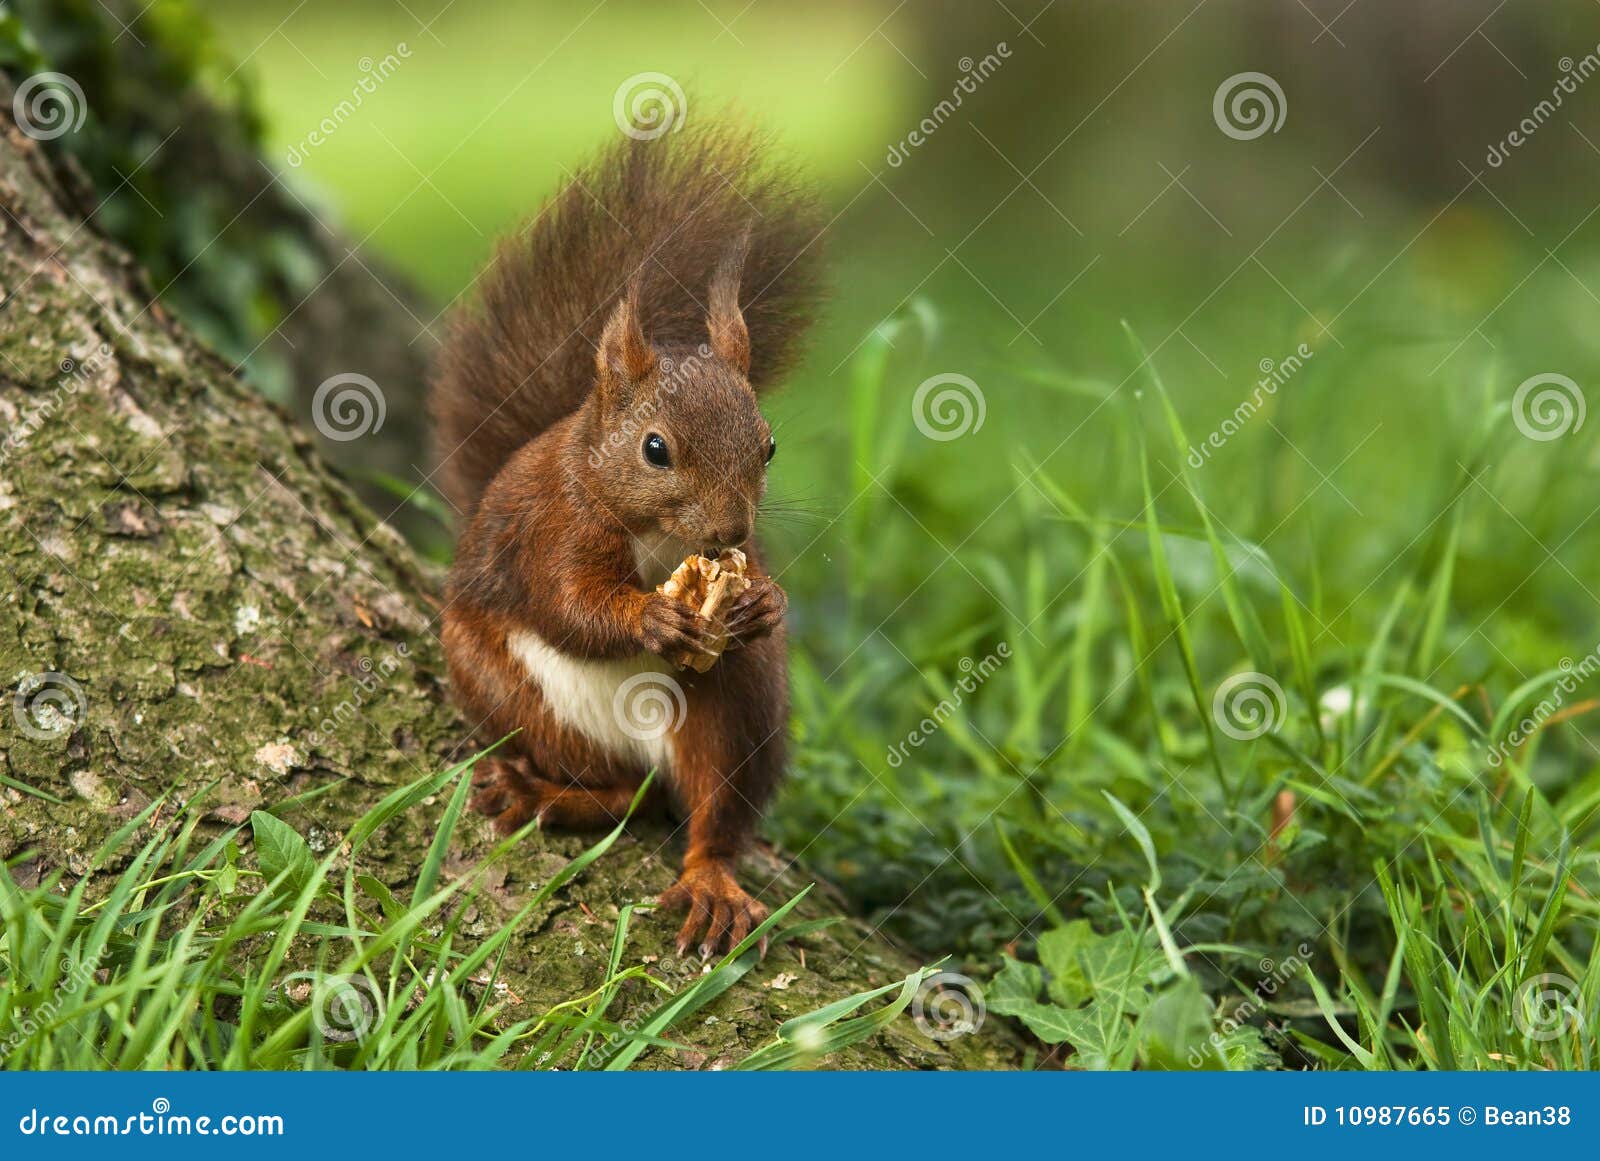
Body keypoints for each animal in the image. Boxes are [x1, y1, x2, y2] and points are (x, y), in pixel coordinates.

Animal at [429, 121, 823, 956]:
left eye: (769, 445)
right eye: (655, 448)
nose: (730, 527)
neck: (658, 538)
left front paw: (764, 605)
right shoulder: (554, 529)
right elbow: (570, 603)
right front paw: (652, 617)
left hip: (737, 706)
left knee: (711, 811)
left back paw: (710, 882)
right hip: (509, 690)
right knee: (622, 794)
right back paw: (537, 792)